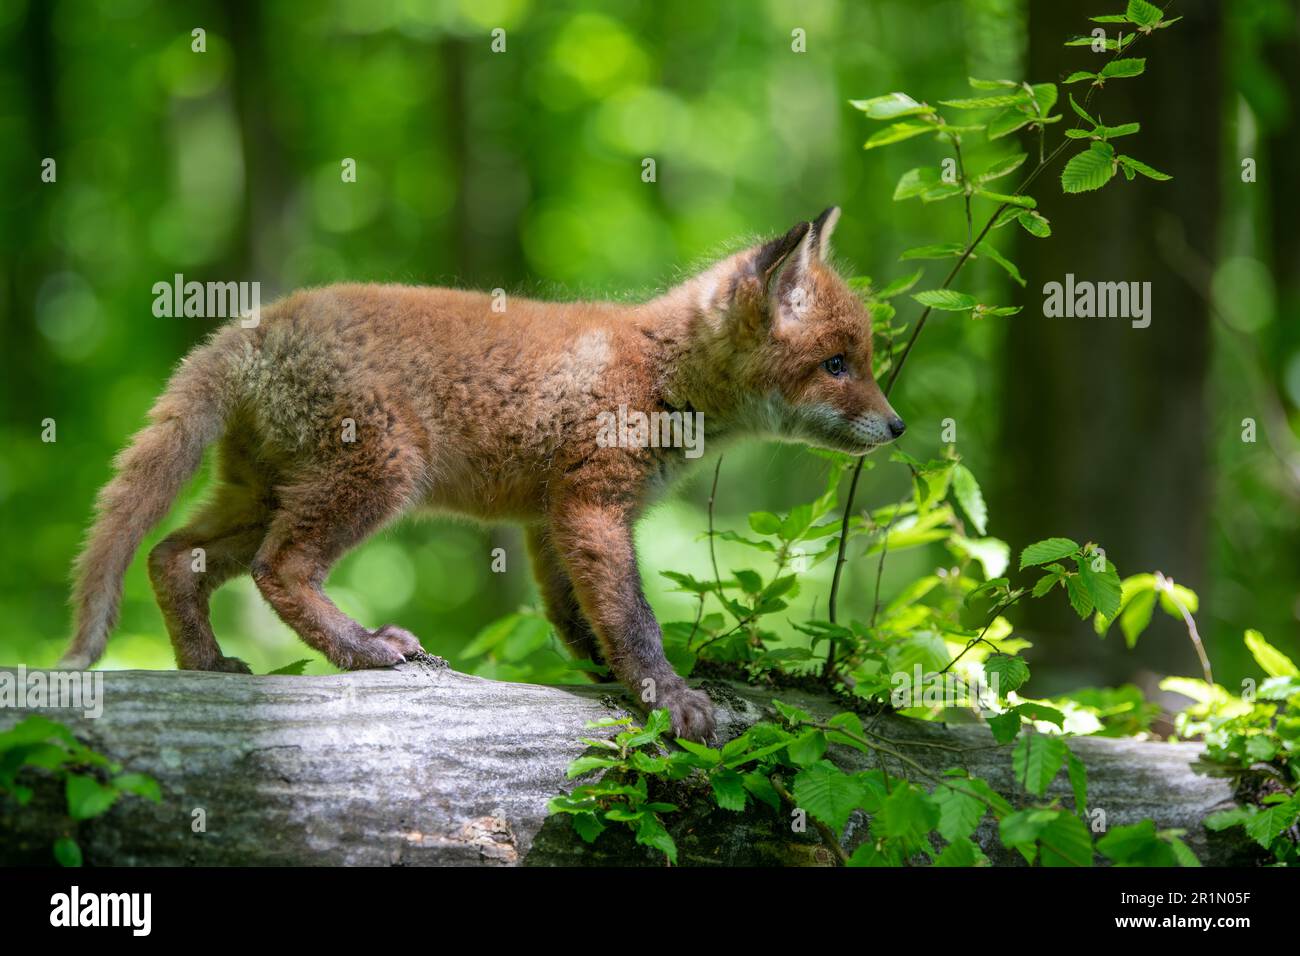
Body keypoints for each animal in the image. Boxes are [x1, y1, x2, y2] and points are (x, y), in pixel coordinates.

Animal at [58, 206, 905, 743]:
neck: (660, 372)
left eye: (862, 360)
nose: (897, 427)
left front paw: (613, 679)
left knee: (171, 556)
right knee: (280, 568)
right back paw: (365, 648)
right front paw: (668, 697)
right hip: (378, 474)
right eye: (837, 365)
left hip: (264, 491)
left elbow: (579, 619)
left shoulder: (551, 519)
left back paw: (205, 667)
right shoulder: (593, 505)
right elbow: (634, 617)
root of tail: (258, 325)